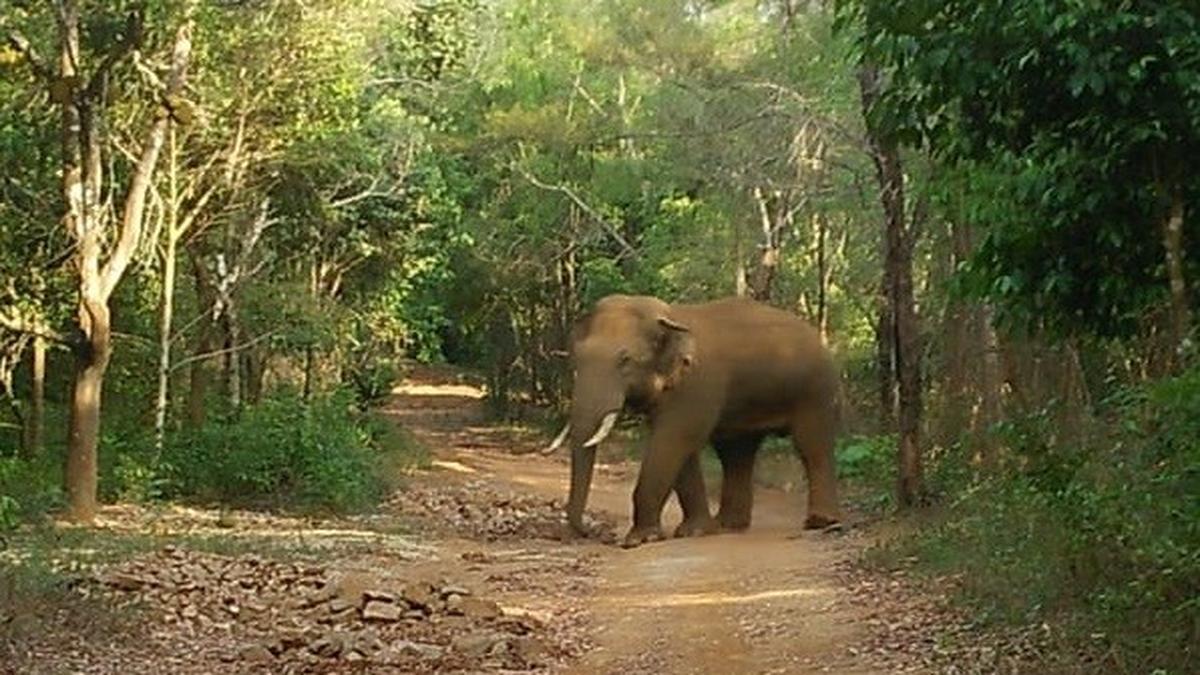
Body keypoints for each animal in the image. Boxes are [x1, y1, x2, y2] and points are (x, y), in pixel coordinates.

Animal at [545, 294, 841, 548]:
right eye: (576, 359)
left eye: (625, 359)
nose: (590, 533)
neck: (670, 317)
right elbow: (680, 448)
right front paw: (695, 531)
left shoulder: (696, 384)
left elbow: (673, 439)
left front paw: (639, 539)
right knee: (736, 453)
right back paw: (728, 525)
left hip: (817, 389)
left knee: (812, 445)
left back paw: (821, 523)